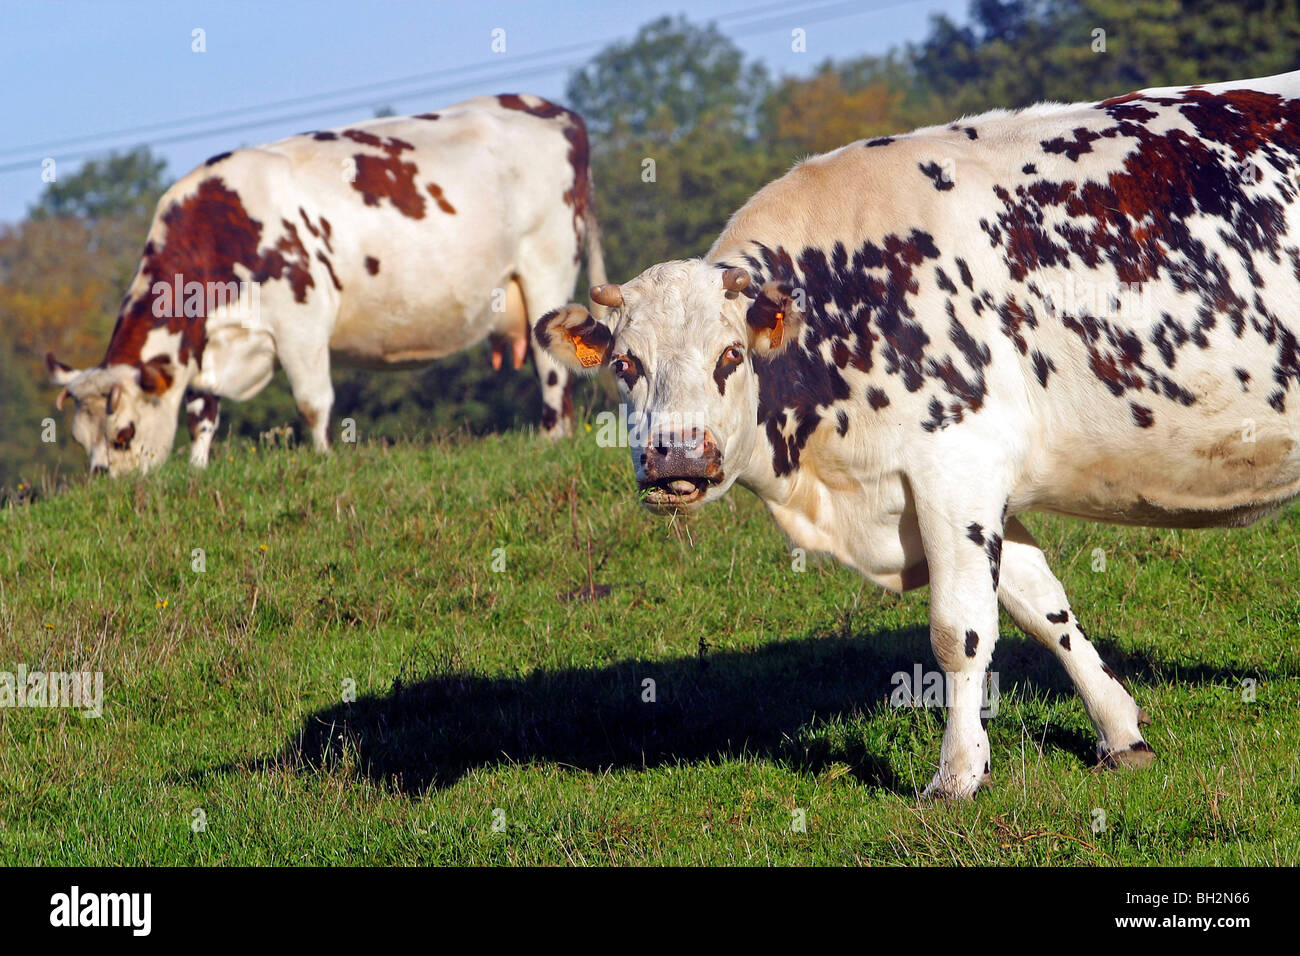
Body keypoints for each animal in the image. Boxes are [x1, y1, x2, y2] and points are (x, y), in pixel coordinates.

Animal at [47, 92, 604, 475]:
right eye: (79, 439)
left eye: (123, 433)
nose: (108, 485)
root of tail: (550, 109)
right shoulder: (206, 344)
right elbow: (201, 411)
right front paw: (198, 471)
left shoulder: (302, 320)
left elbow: (312, 402)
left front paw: (323, 458)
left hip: (547, 266)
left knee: (552, 368)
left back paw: (551, 438)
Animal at [535, 72, 1300, 799]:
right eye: (626, 365)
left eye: (730, 355)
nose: (677, 457)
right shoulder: (977, 491)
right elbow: (1042, 606)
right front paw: (1120, 734)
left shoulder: (955, 468)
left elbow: (959, 630)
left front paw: (957, 774)